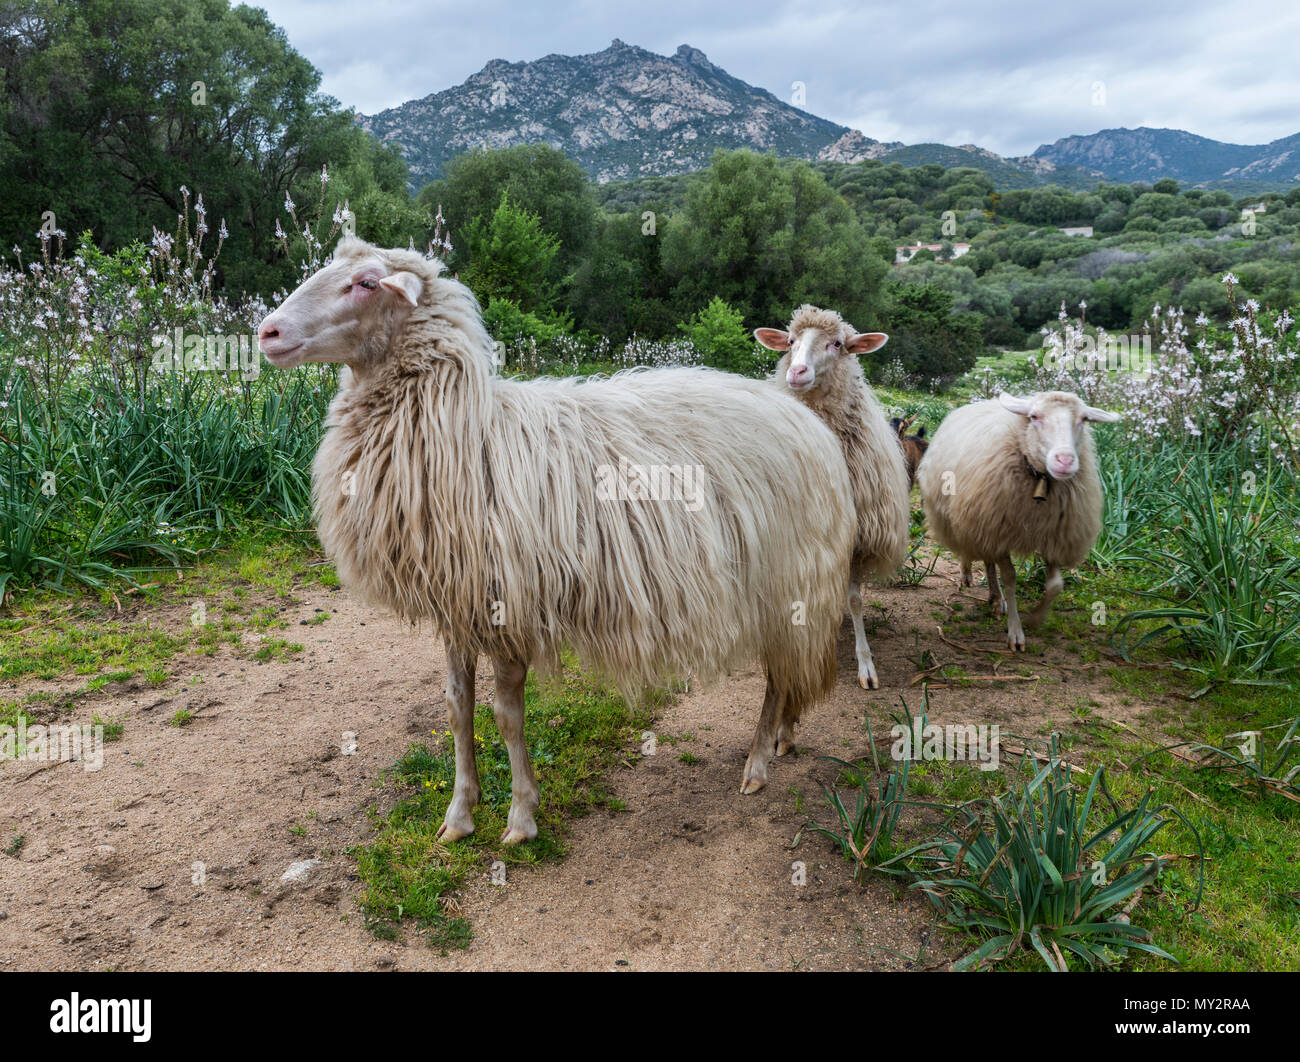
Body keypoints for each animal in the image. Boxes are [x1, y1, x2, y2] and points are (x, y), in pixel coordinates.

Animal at [257, 239, 855, 844]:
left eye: (367, 283)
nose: (267, 332)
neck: (466, 430)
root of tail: (802, 416)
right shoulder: (458, 604)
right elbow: (456, 708)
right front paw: (460, 815)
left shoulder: (509, 603)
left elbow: (506, 715)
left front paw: (521, 816)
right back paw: (778, 741)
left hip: (790, 579)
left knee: (779, 675)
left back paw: (757, 763)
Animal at [755, 305, 911, 690]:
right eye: (790, 341)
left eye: (838, 343)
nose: (796, 372)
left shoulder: (858, 539)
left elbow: (854, 601)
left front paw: (866, 664)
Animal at [916, 390, 1120, 650]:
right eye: (1034, 416)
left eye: (1084, 419)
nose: (1064, 461)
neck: (1040, 479)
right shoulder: (998, 530)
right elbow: (1010, 578)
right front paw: (1016, 632)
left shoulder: (1053, 537)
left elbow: (1055, 585)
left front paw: (1035, 618)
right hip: (972, 519)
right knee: (971, 551)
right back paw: (969, 574)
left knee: (987, 561)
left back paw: (995, 598)